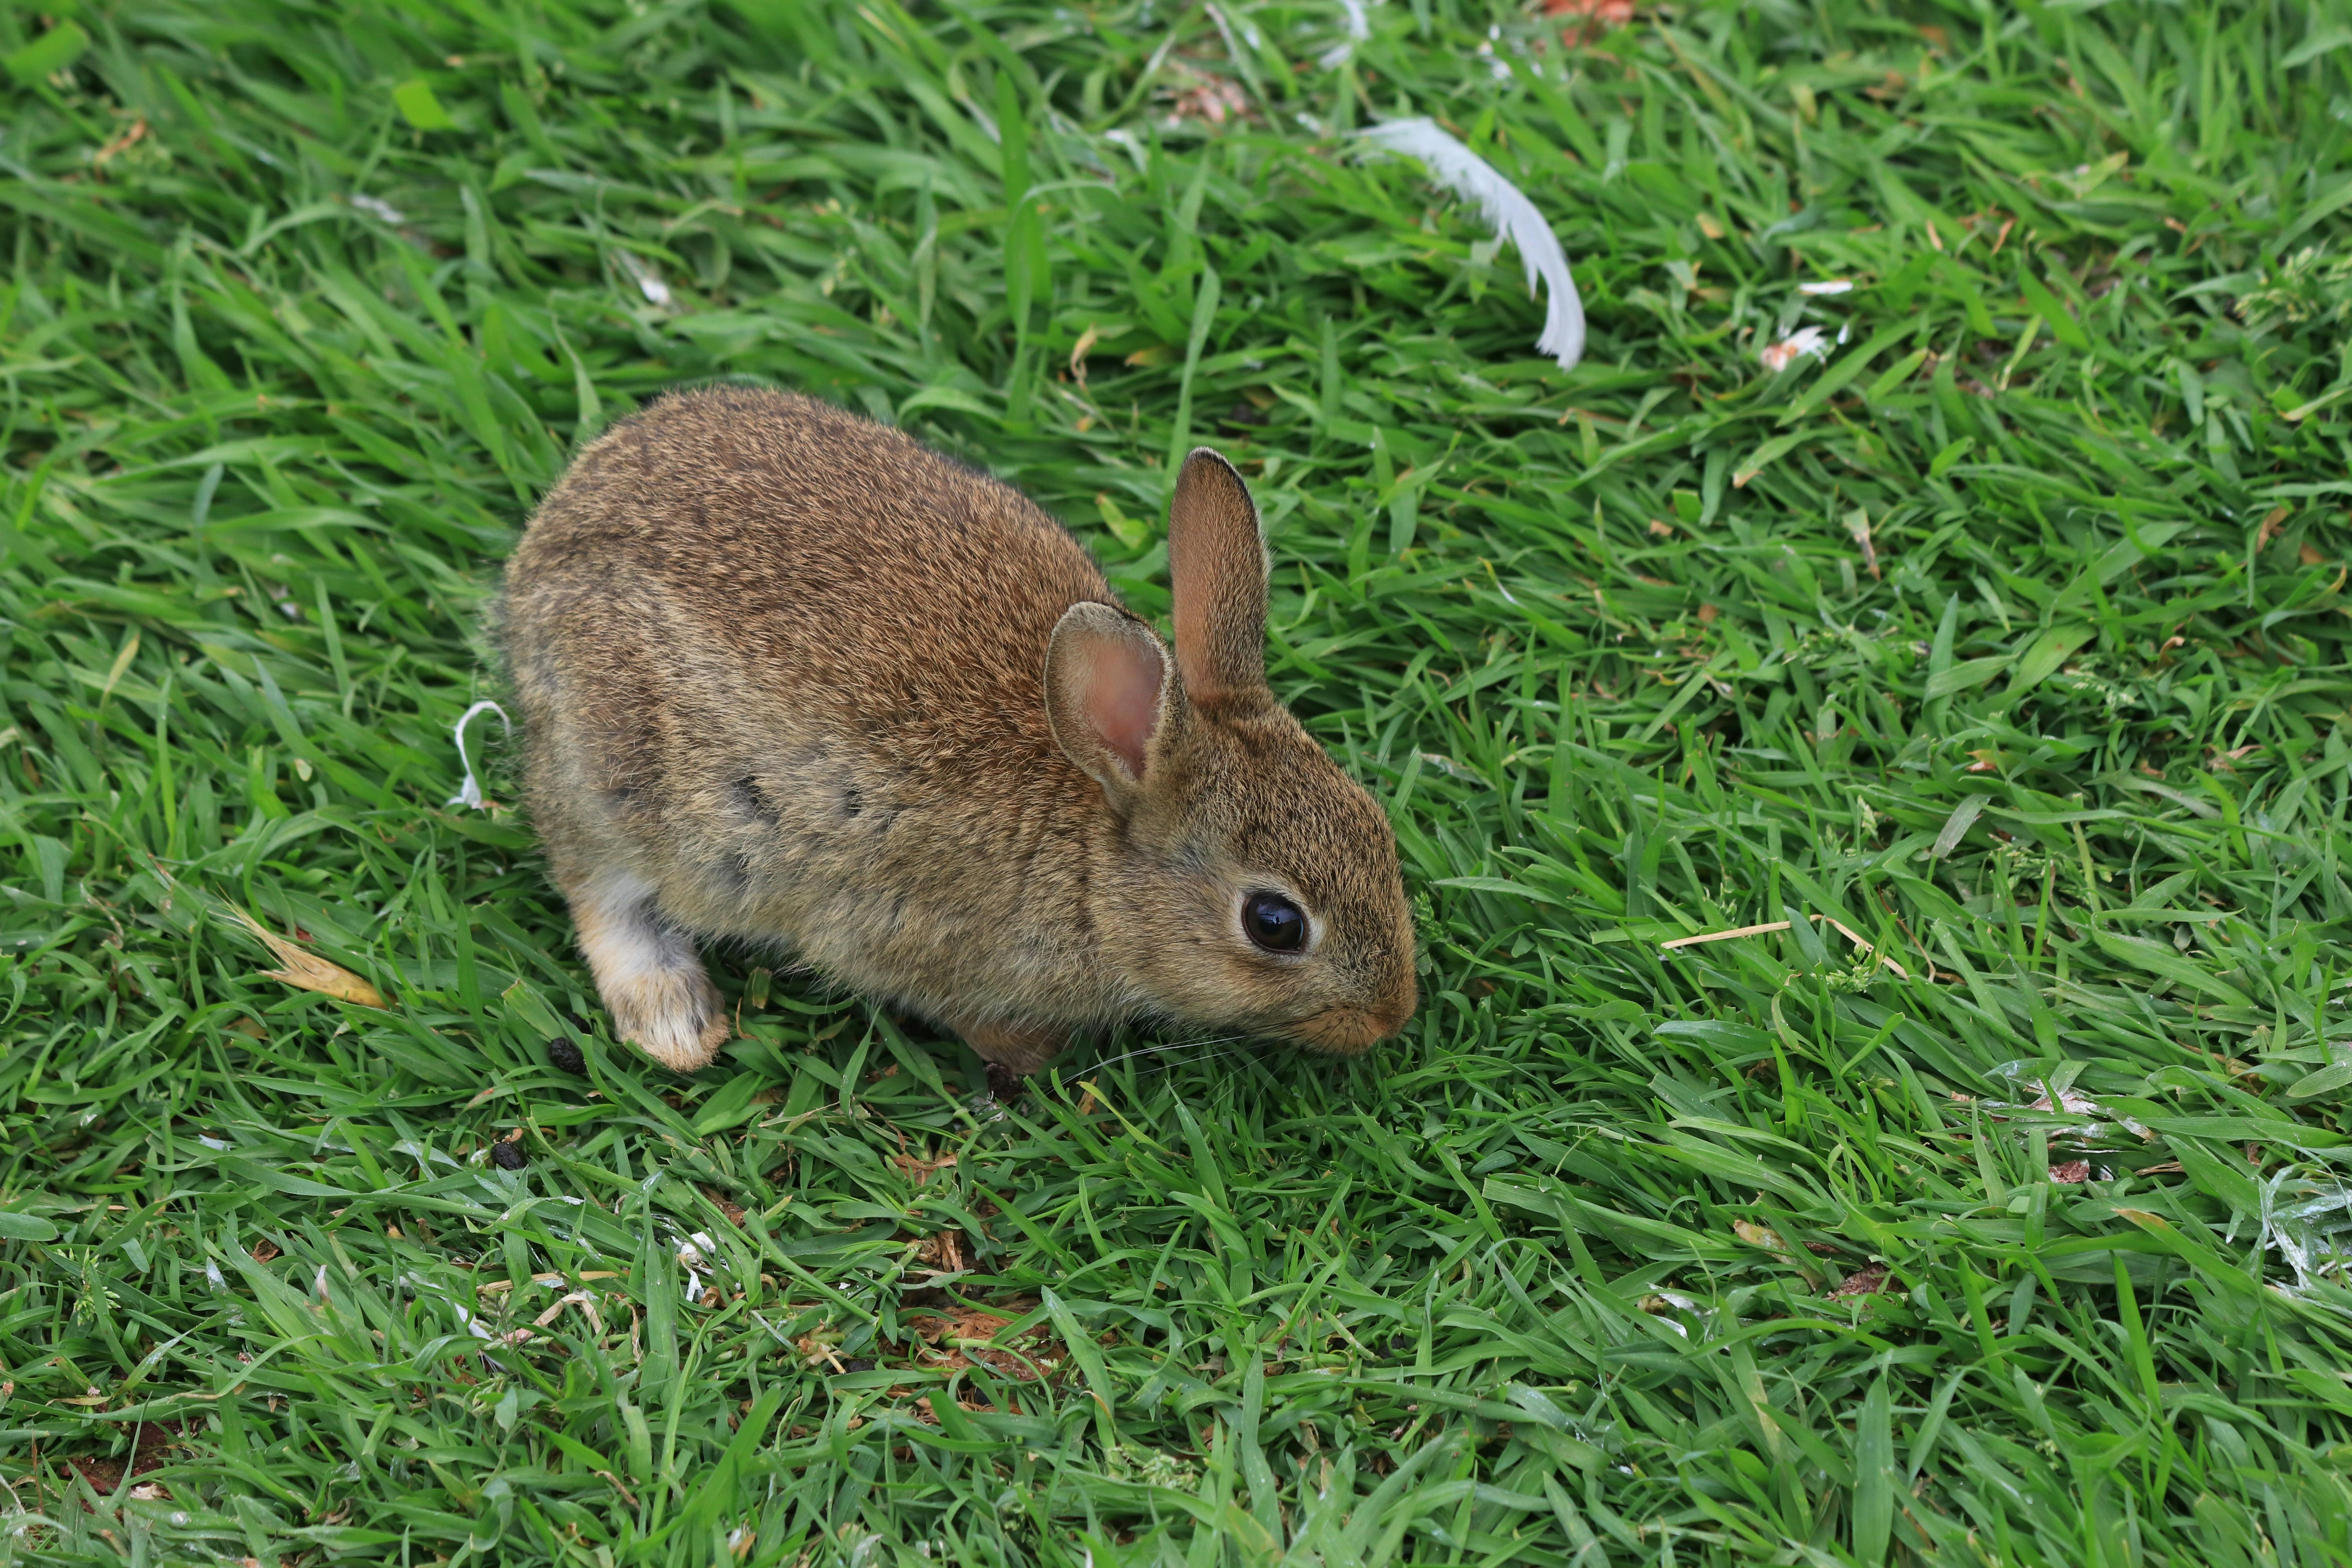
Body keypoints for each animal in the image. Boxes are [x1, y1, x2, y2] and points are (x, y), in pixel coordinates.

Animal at [498, 386, 1416, 1077]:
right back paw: (675, 1021)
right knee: (596, 884)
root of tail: (542, 548)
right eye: (1275, 924)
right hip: (624, 777)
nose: (1390, 1016)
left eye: (1377, 823)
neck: (1094, 864)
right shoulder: (898, 933)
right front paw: (1033, 1055)